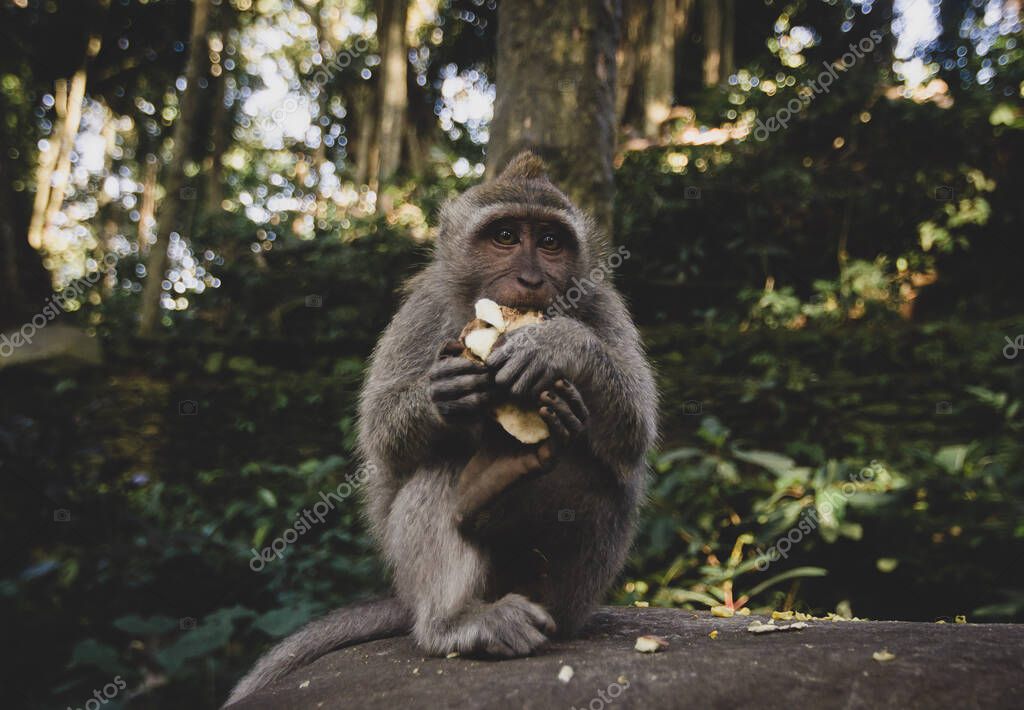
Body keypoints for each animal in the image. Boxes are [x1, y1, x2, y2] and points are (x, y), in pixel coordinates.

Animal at [225, 152, 657, 706]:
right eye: (505, 236)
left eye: (550, 241)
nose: (531, 279)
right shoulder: (423, 307)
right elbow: (380, 434)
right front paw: (442, 396)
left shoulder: (602, 301)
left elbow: (635, 431)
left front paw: (559, 344)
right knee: (441, 472)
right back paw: (454, 619)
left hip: (564, 599)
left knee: (603, 484)